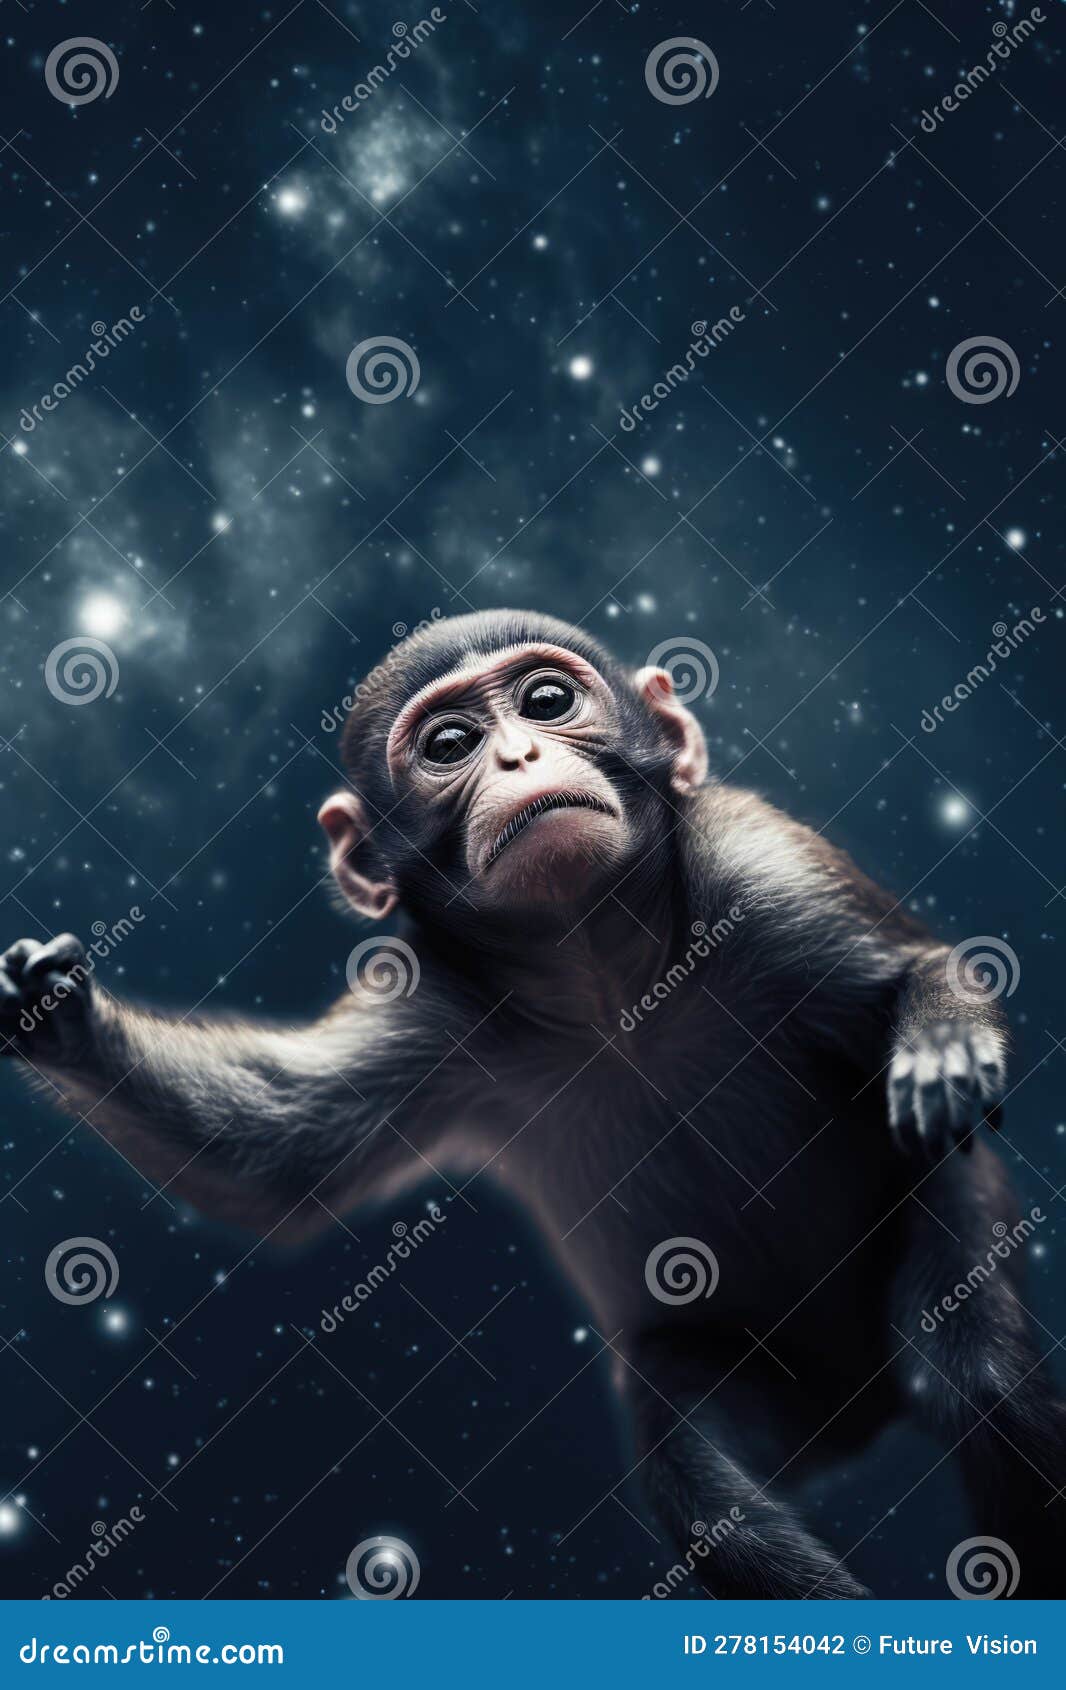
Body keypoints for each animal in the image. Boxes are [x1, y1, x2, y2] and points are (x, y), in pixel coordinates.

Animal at [2, 608, 1063, 1599]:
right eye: (450, 745)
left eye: (548, 702)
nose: (518, 755)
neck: (606, 981)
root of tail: (860, 1410)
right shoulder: (431, 1008)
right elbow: (280, 1155)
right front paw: (62, 1022)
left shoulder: (763, 870)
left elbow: (910, 969)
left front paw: (939, 1039)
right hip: (762, 1385)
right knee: (707, 1486)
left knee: (980, 1374)